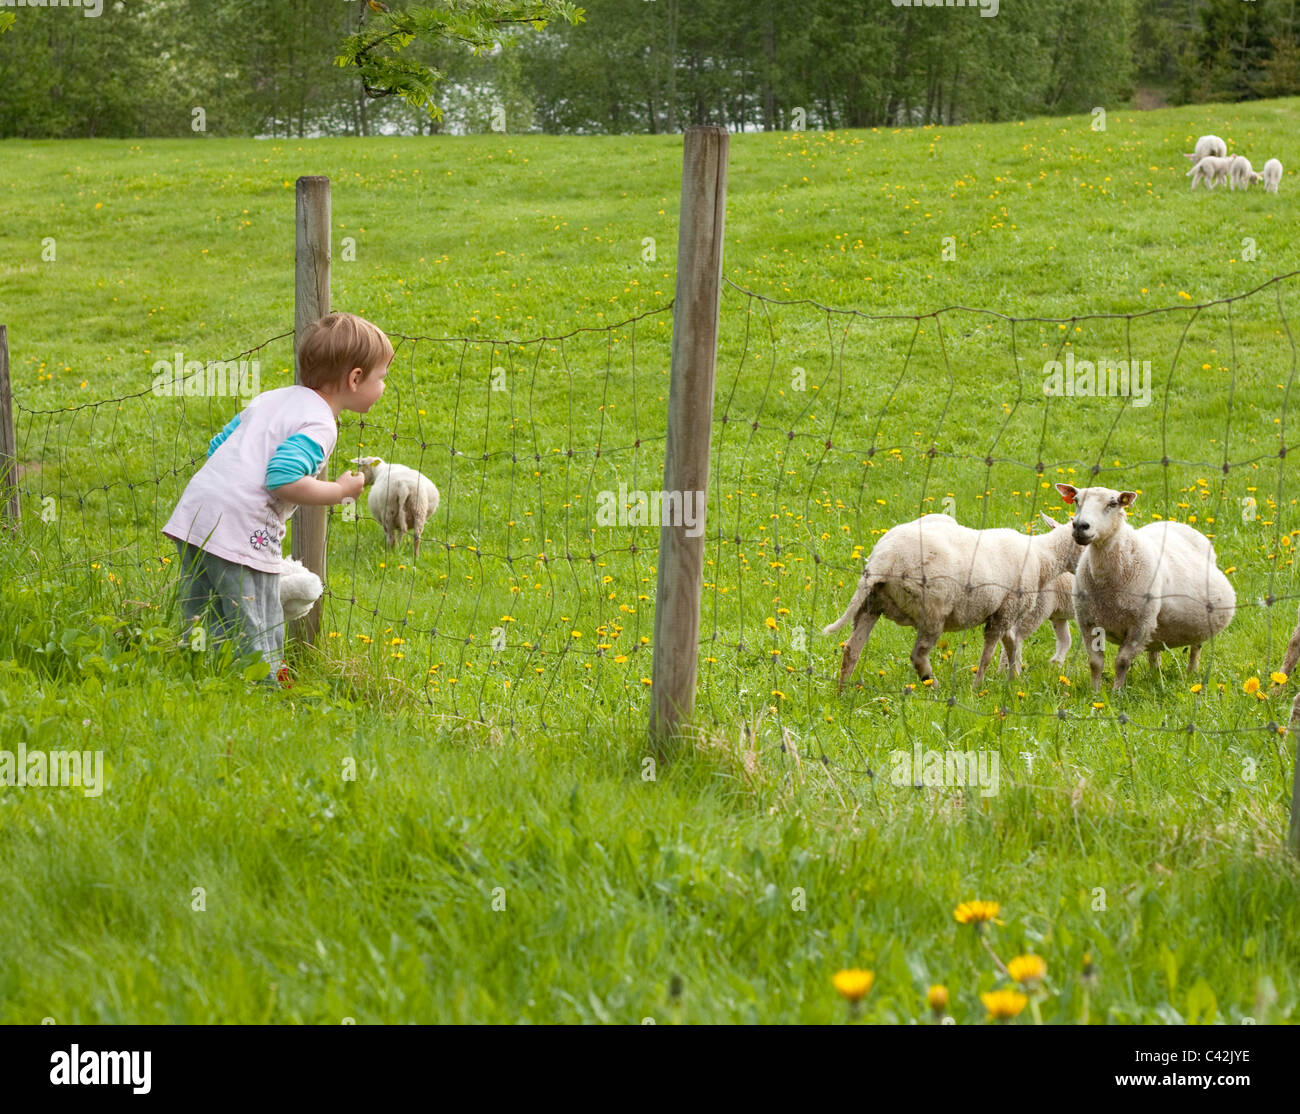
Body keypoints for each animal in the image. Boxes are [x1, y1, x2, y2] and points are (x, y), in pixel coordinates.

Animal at [822, 512, 1081, 689]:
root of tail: (883, 559)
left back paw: (842, 691)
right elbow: (989, 653)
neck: (1043, 556)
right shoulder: (1004, 612)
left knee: (852, 649)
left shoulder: (1006, 611)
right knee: (918, 656)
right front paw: (978, 687)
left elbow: (1011, 644)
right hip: (932, 610)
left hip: (872, 603)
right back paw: (933, 685)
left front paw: (1013, 680)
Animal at [1057, 484, 1235, 690]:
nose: (1080, 526)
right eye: (1076, 500)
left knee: (1195, 647)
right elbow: (1095, 662)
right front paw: (1095, 692)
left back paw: (1191, 673)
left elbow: (1122, 661)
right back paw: (1155, 674)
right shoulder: (1088, 623)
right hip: (1155, 625)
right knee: (1155, 649)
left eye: (1113, 503)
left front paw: (1116, 692)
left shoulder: (1139, 625)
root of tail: (1174, 523)